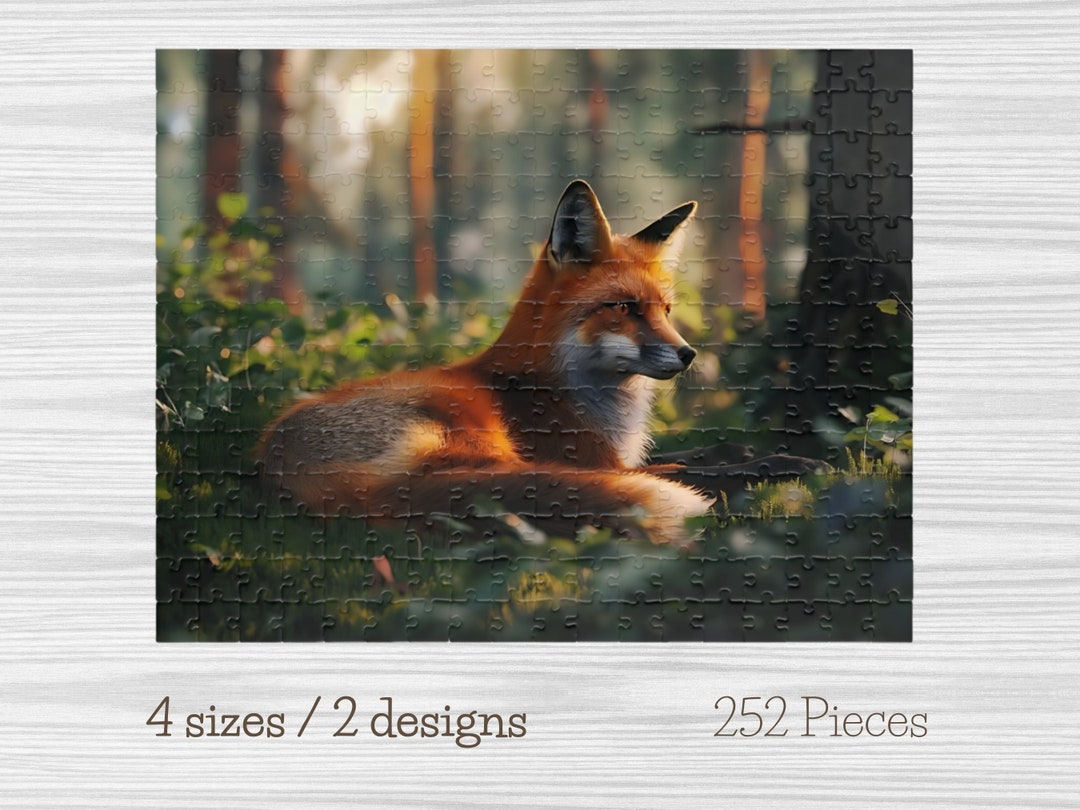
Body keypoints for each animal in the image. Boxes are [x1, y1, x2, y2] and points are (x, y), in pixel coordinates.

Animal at [261, 180, 811, 549]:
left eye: (666, 311)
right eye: (625, 307)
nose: (688, 354)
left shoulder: (618, 460)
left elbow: (700, 452)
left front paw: (747, 450)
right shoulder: (596, 462)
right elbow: (689, 467)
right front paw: (783, 464)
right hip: (478, 439)